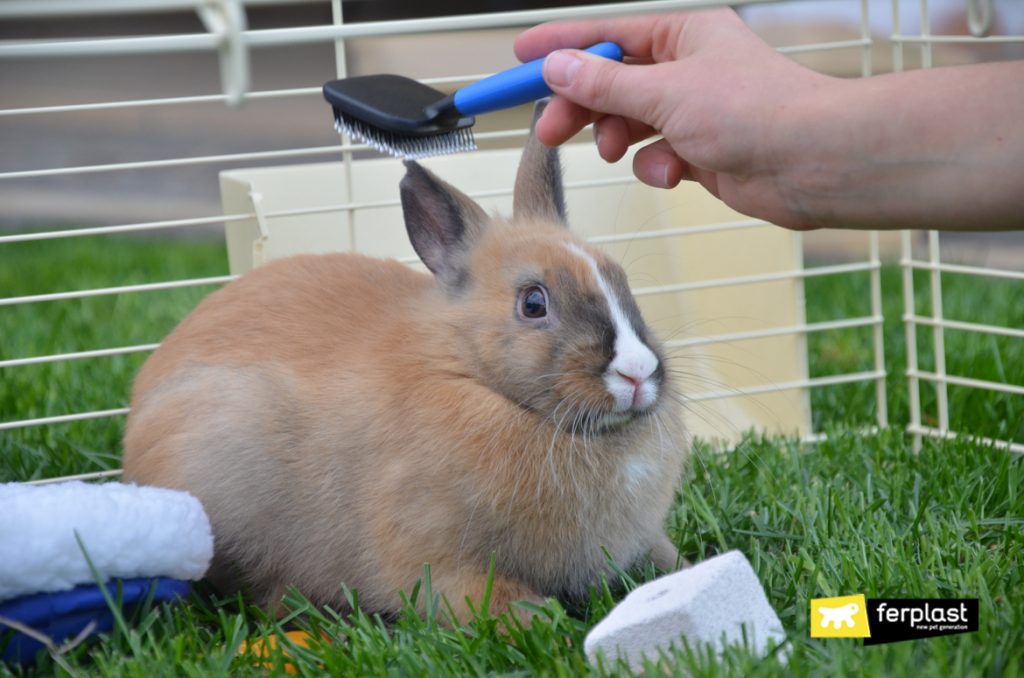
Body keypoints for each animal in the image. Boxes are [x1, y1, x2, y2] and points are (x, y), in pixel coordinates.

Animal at [122, 102, 688, 623]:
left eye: (620, 279)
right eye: (533, 303)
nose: (637, 372)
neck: (469, 374)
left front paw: (683, 567)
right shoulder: (437, 561)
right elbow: (496, 600)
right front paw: (545, 623)